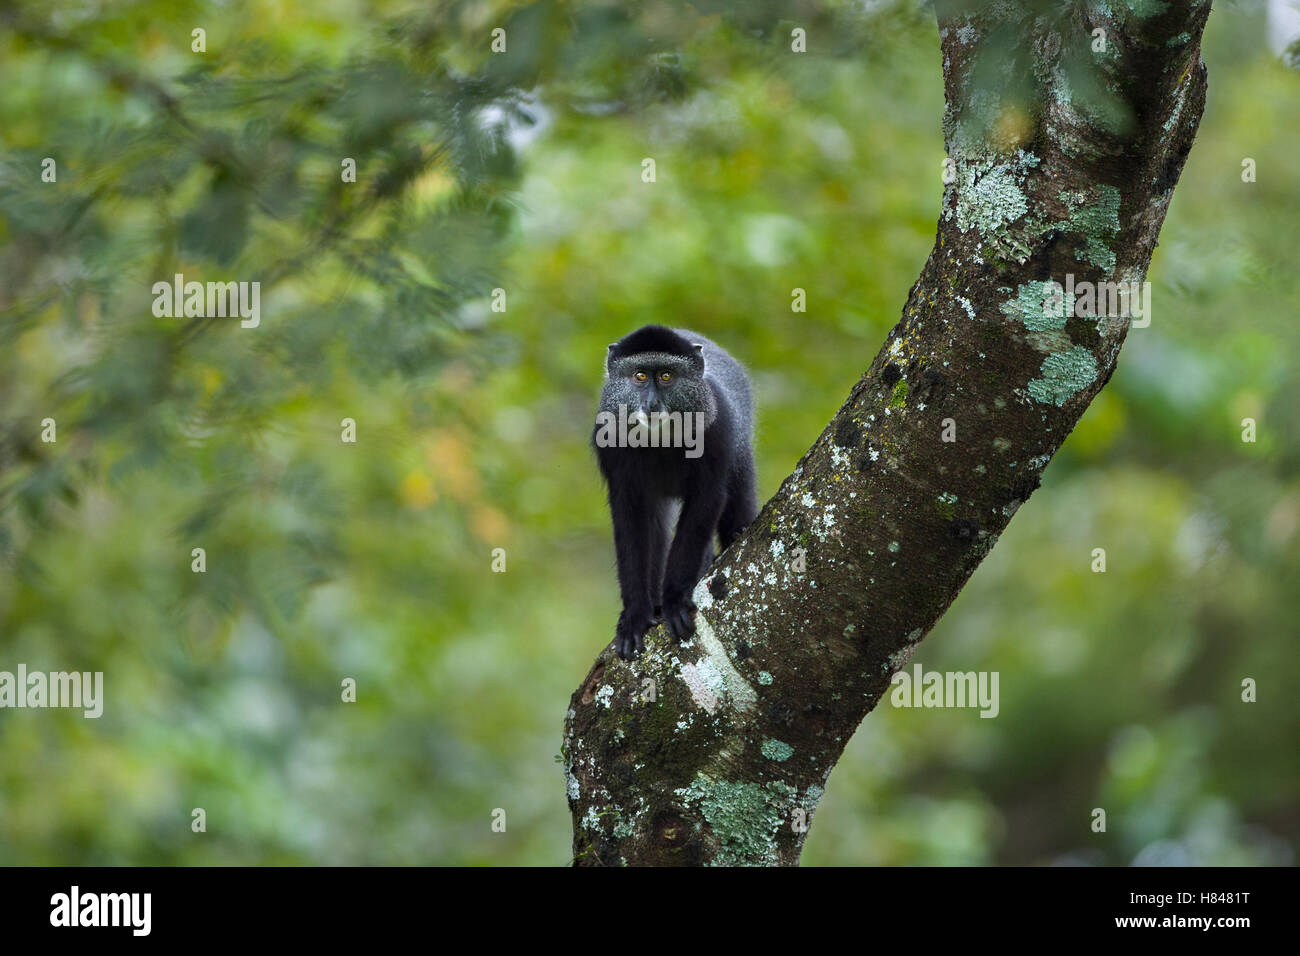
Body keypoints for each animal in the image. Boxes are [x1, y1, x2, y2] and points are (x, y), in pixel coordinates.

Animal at [592, 324, 757, 660]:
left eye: (666, 376)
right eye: (640, 376)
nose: (652, 404)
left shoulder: (718, 429)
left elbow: (706, 501)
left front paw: (675, 599)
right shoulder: (612, 446)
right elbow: (630, 519)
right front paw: (635, 614)